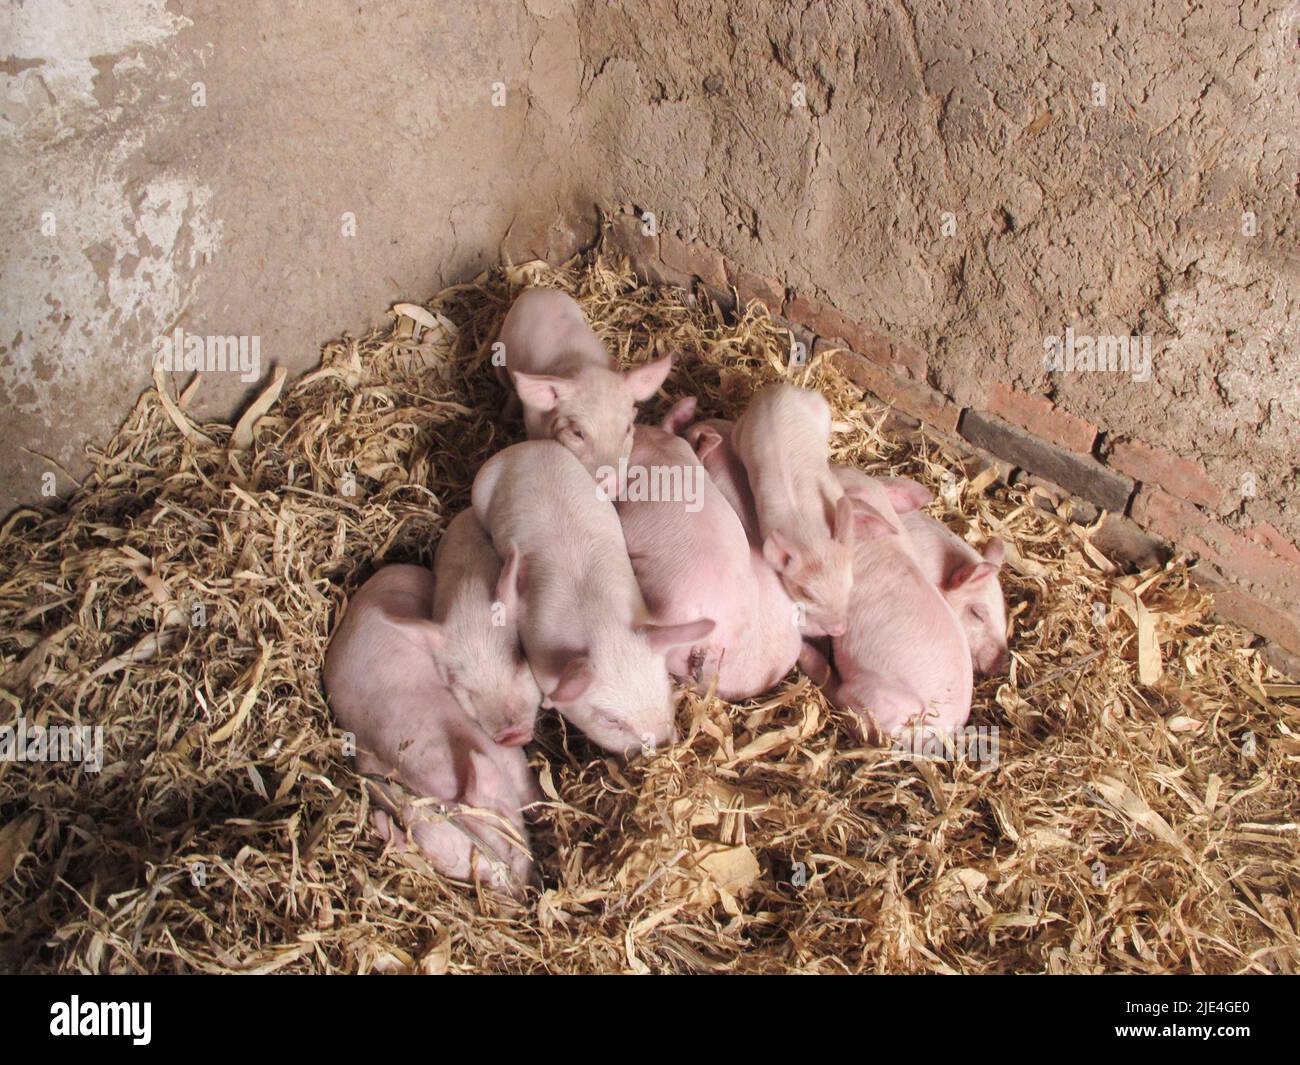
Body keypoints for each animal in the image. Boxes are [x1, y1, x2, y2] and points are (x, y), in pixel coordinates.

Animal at [471, 439, 713, 755]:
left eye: (663, 681)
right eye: (611, 720)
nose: (661, 744)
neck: (600, 624)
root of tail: (524, 446)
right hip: (480, 488)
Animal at [730, 383, 857, 637]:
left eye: (849, 582)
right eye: (806, 594)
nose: (839, 630)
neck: (809, 534)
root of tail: (773, 390)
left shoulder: (833, 488)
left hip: (820, 407)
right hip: (739, 433)